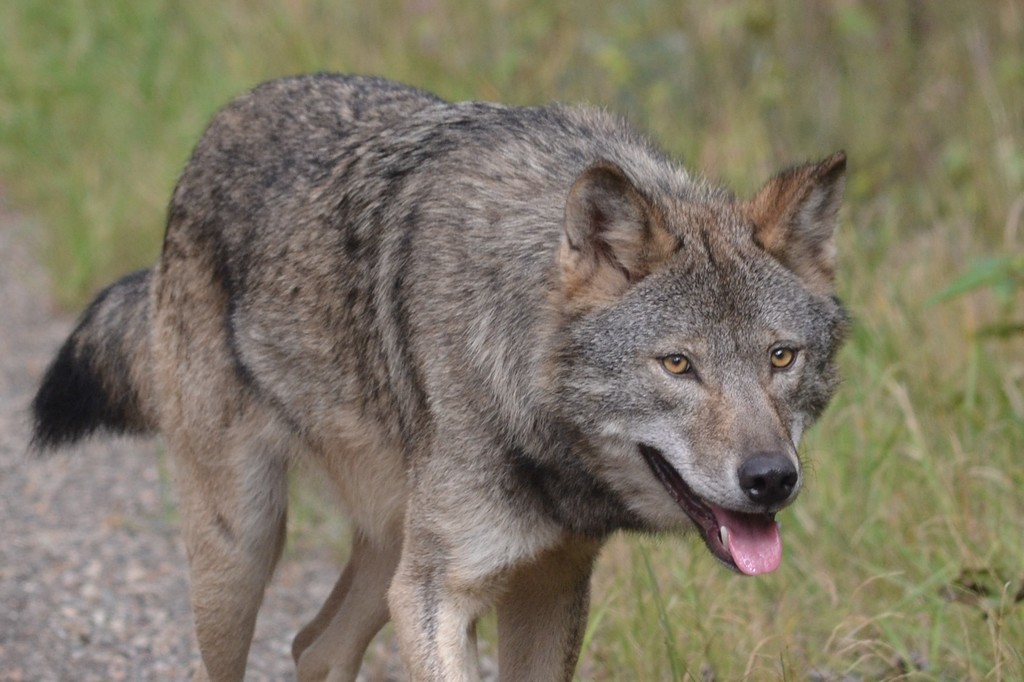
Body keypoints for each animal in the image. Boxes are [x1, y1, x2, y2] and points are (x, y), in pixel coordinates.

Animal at [31, 73, 848, 681]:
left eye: (781, 358)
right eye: (678, 364)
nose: (771, 479)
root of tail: (221, 120)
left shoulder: (551, 586)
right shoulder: (436, 593)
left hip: (386, 548)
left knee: (312, 647)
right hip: (245, 550)